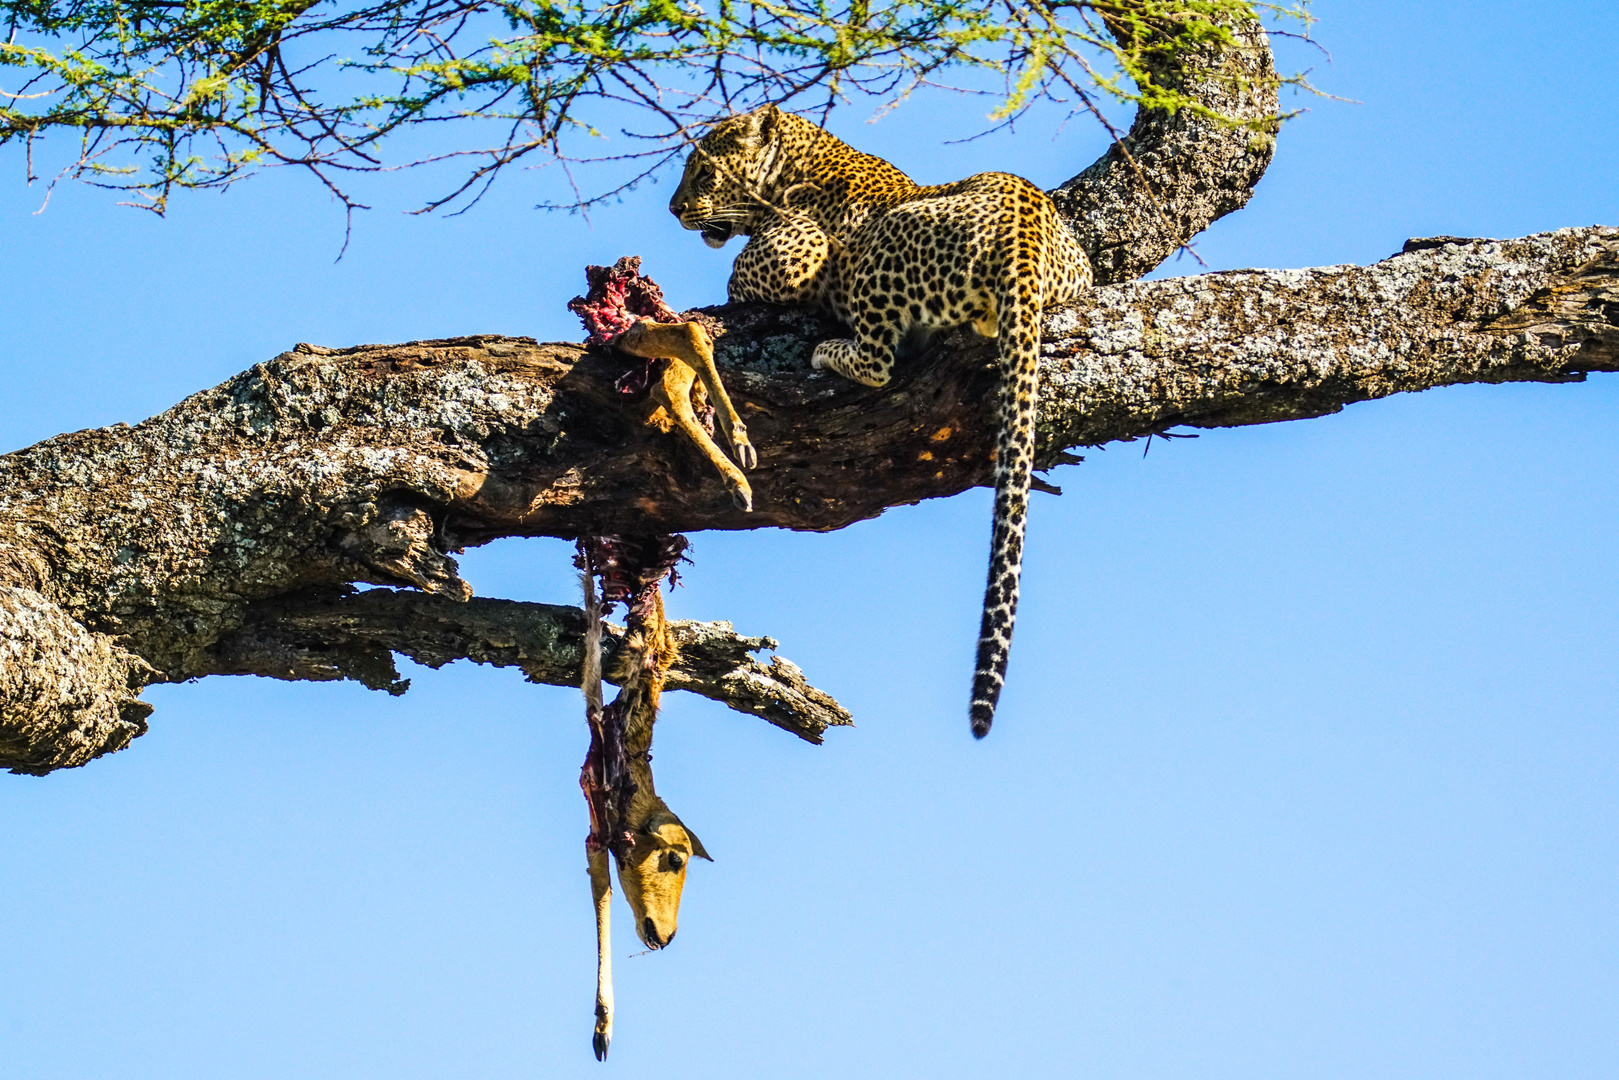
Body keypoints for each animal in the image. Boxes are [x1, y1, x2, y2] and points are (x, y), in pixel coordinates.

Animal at [669, 103, 1093, 738]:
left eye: (703, 174)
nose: (674, 210)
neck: (799, 158)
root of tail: (1025, 233)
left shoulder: (799, 251)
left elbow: (742, 271)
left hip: (878, 253)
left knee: (877, 360)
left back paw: (827, 350)